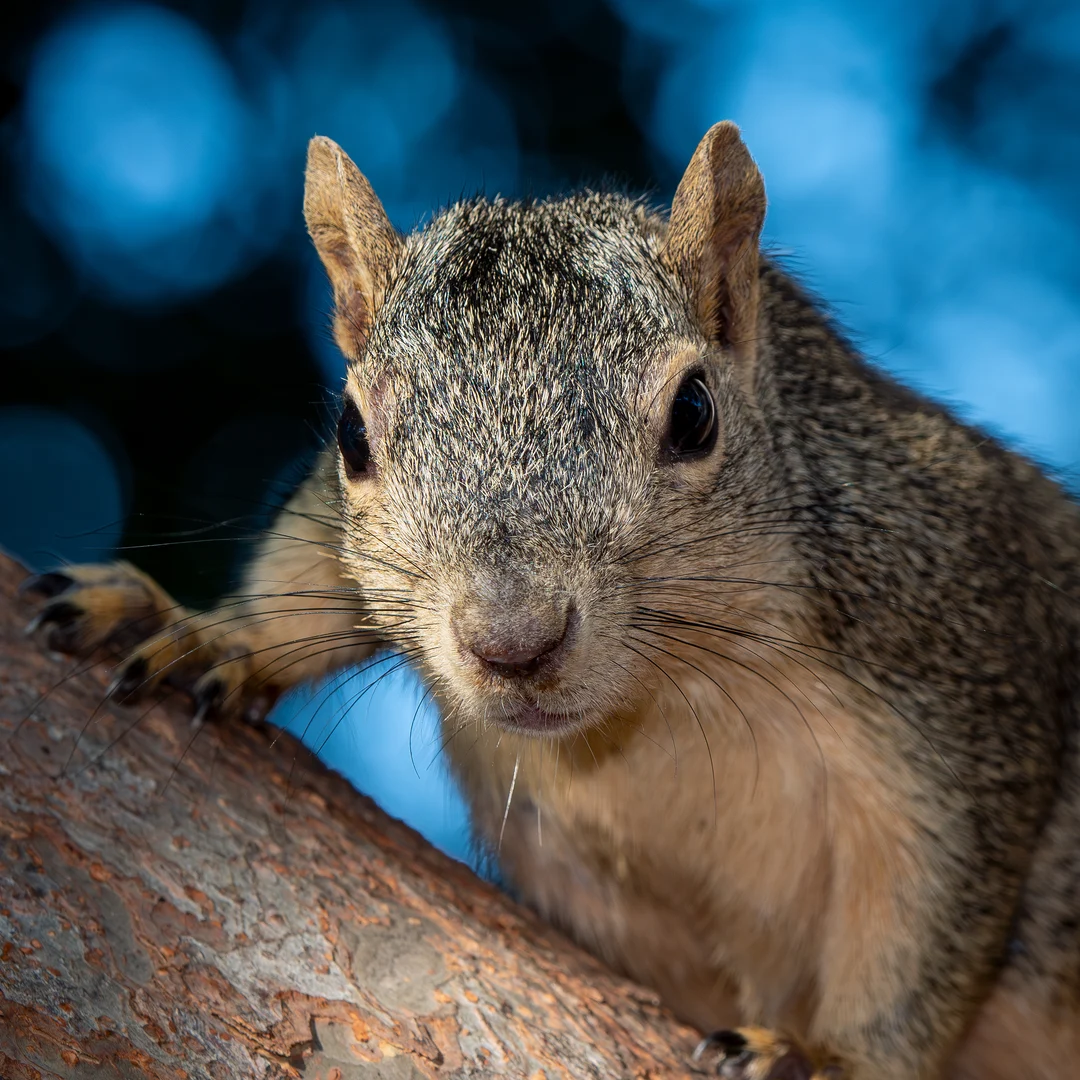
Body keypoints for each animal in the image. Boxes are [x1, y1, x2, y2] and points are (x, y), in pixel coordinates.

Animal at [21, 122, 1080, 1080]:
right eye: (352, 435)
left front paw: (832, 1059)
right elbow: (310, 568)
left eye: (695, 412)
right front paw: (211, 632)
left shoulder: (952, 645)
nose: (513, 642)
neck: (646, 711)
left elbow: (925, 918)